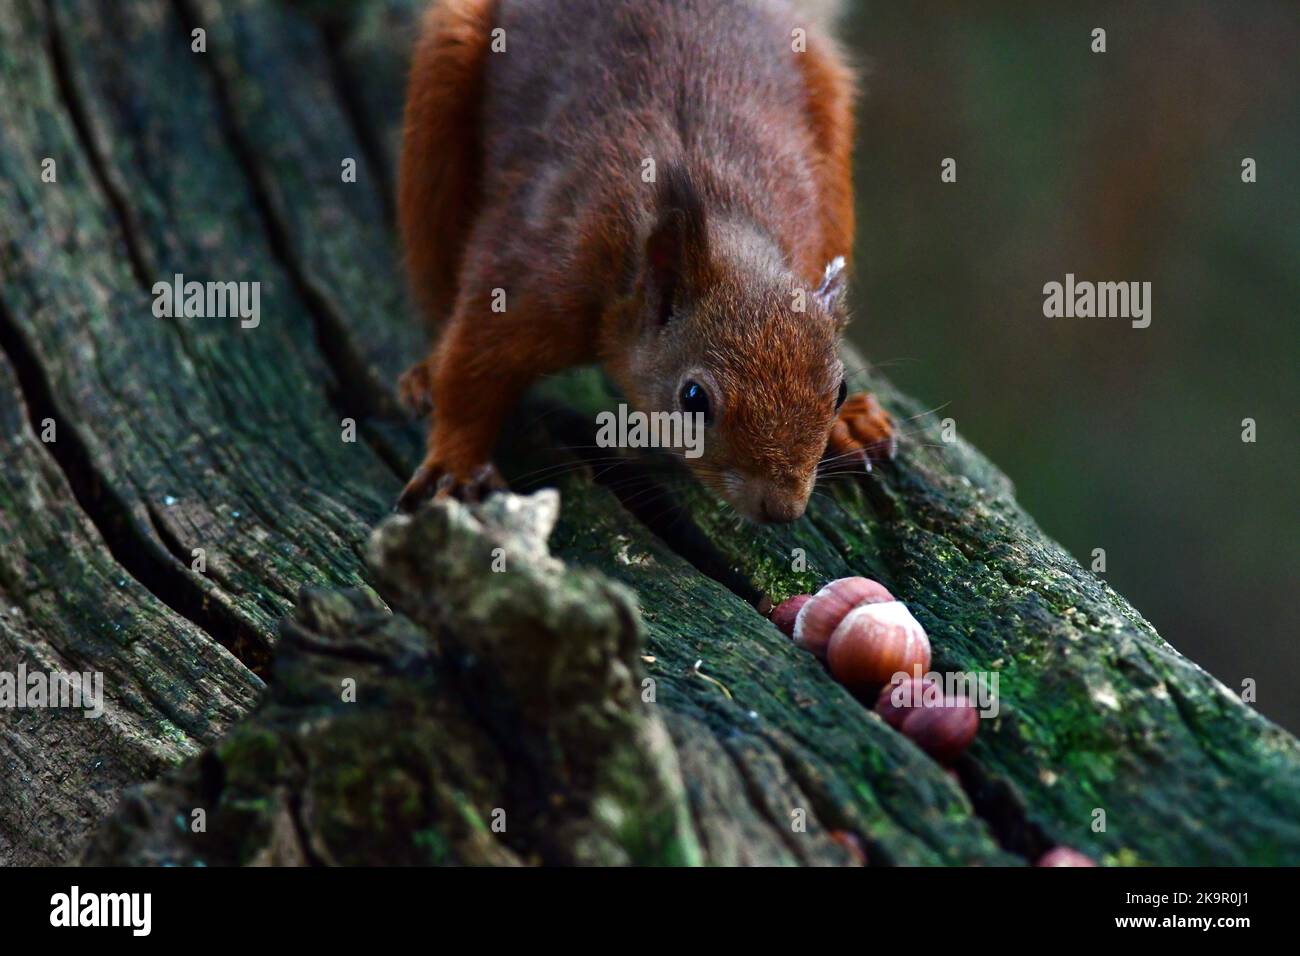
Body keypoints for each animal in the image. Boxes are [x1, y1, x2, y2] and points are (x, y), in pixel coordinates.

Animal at [395, 0, 895, 522]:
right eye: (693, 399)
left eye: (838, 390)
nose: (781, 508)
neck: (725, 225)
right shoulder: (539, 269)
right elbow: (472, 368)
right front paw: (456, 467)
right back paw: (425, 374)